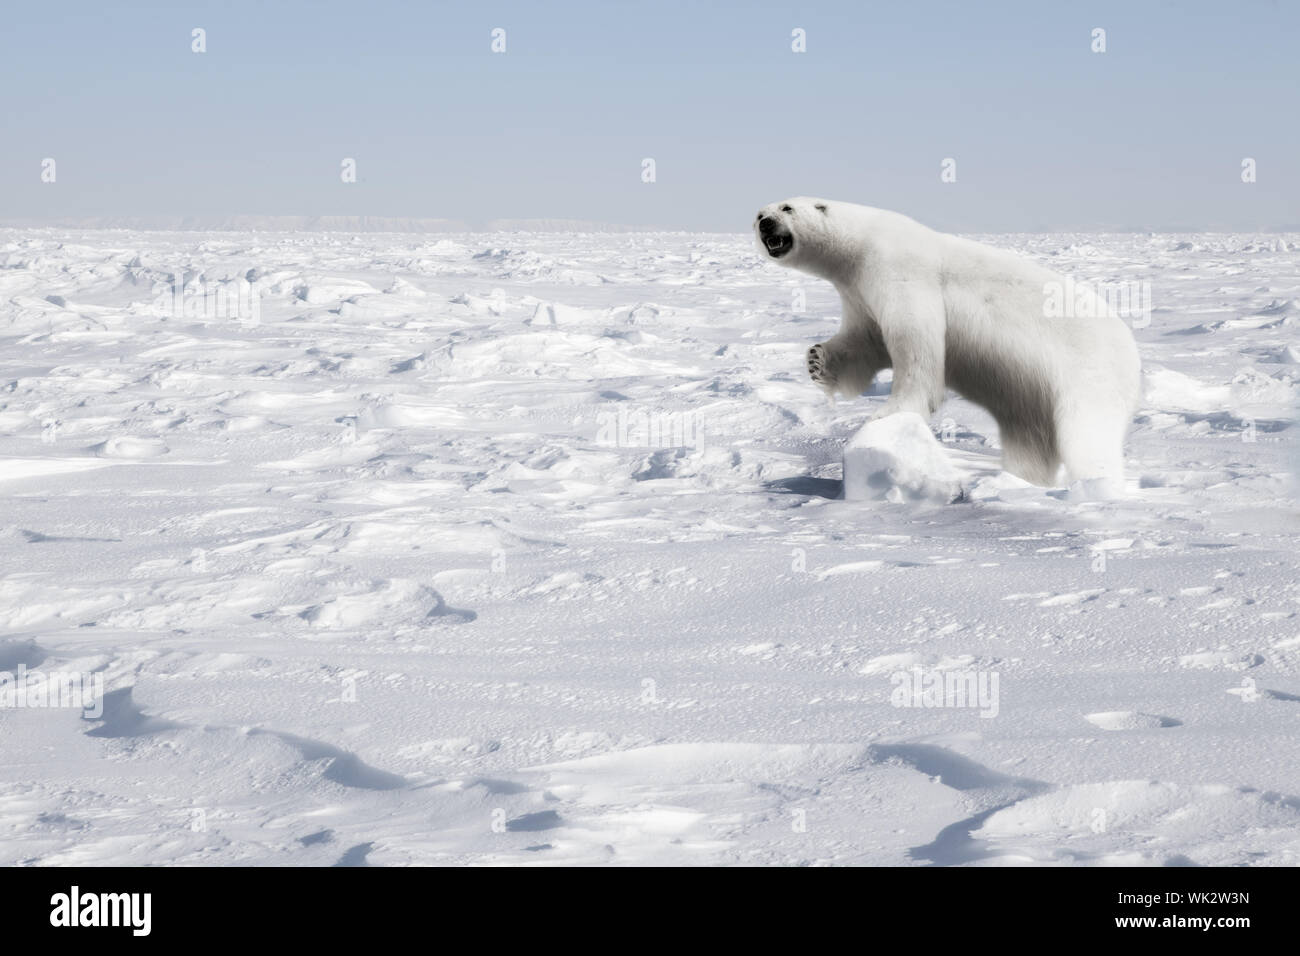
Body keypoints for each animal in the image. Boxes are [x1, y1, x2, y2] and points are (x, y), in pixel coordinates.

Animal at [754, 197, 1141, 490]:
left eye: (787, 207)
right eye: (760, 213)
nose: (765, 224)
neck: (860, 244)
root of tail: (1131, 350)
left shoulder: (899, 269)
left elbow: (914, 342)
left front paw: (888, 411)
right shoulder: (859, 294)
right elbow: (864, 342)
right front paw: (817, 360)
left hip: (1088, 369)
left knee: (1087, 434)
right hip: (1033, 394)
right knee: (1030, 436)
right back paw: (1020, 479)